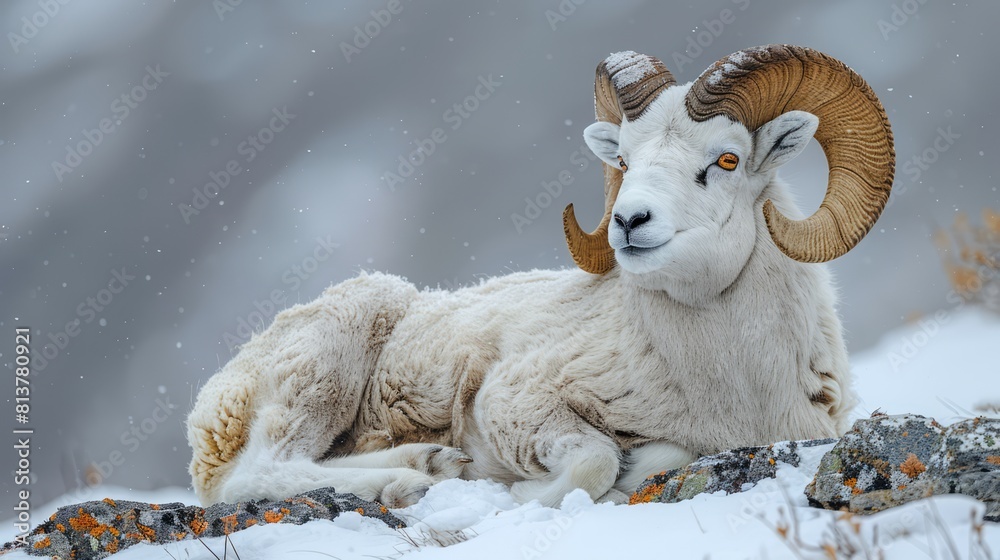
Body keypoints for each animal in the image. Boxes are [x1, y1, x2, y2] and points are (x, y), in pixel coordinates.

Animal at [187, 44, 895, 508]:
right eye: (625, 159)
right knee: (257, 473)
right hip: (327, 363)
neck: (729, 381)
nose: (629, 221)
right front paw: (520, 488)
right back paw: (413, 479)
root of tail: (216, 400)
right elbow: (595, 464)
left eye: (725, 160)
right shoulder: (515, 403)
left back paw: (430, 461)